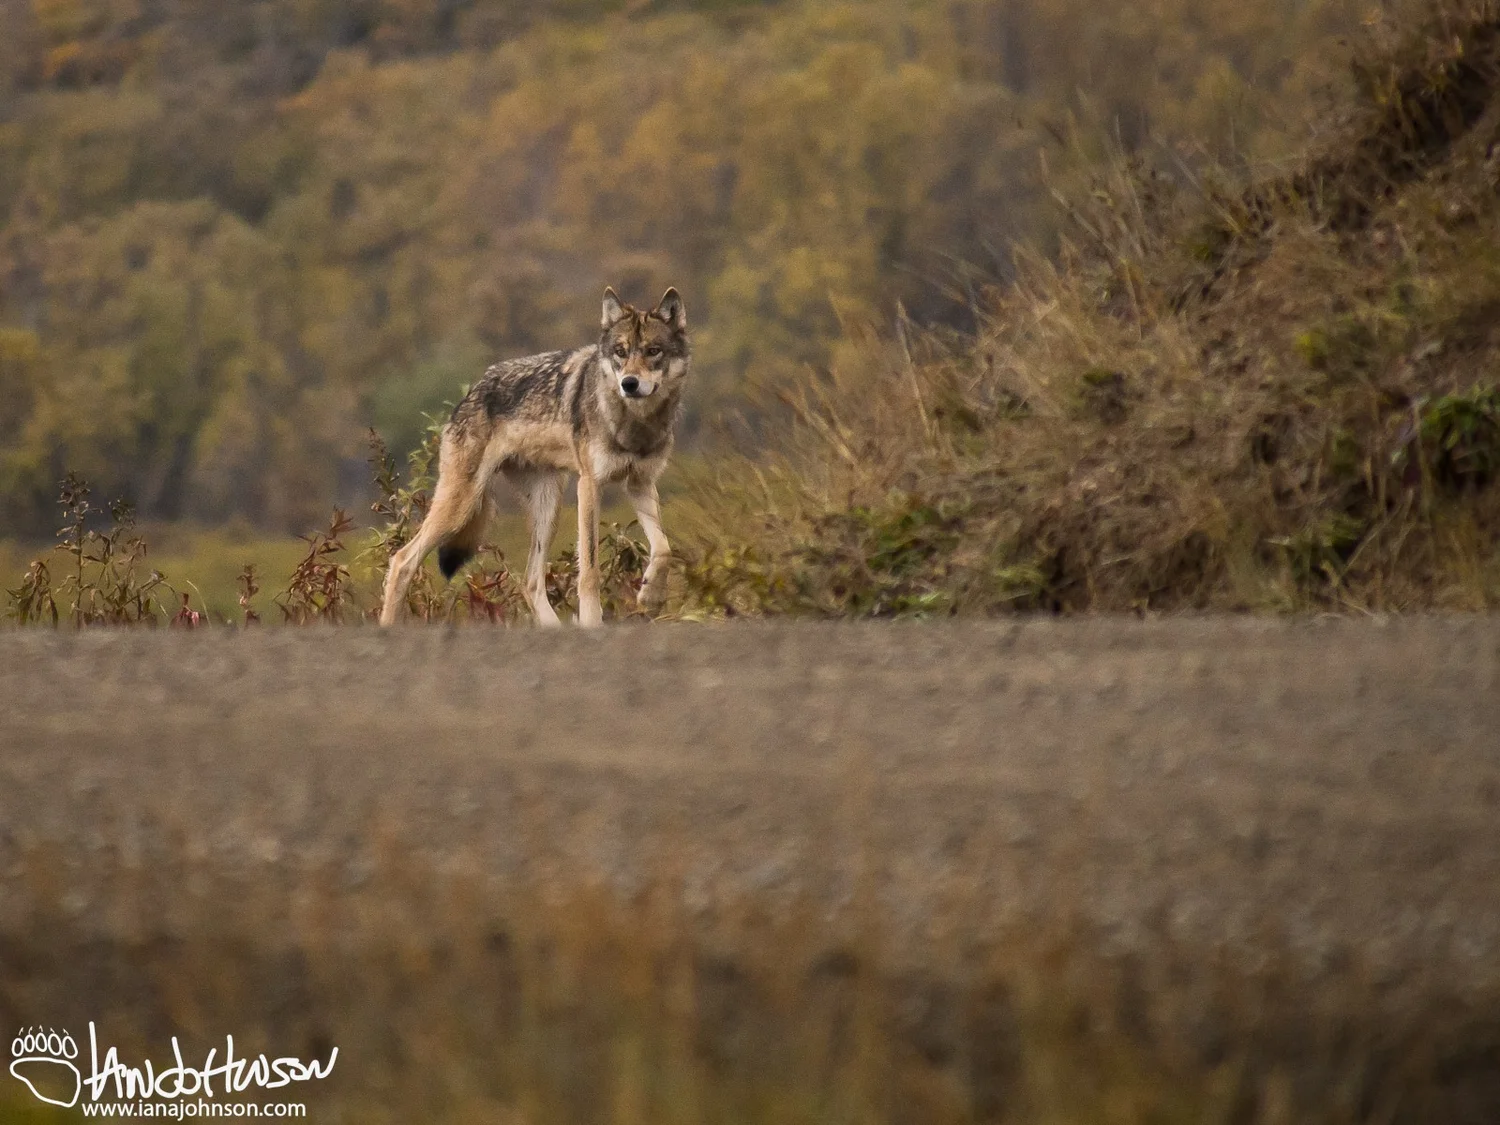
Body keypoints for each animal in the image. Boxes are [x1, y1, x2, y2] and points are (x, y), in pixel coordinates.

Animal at [379, 287, 689, 628]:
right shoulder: (589, 485)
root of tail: (472, 389)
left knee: (530, 580)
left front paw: (651, 598)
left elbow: (663, 549)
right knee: (401, 561)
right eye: (621, 352)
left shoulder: (640, 483)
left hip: (548, 507)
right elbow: (590, 570)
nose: (629, 384)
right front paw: (592, 623)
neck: (635, 424)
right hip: (462, 505)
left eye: (653, 351)